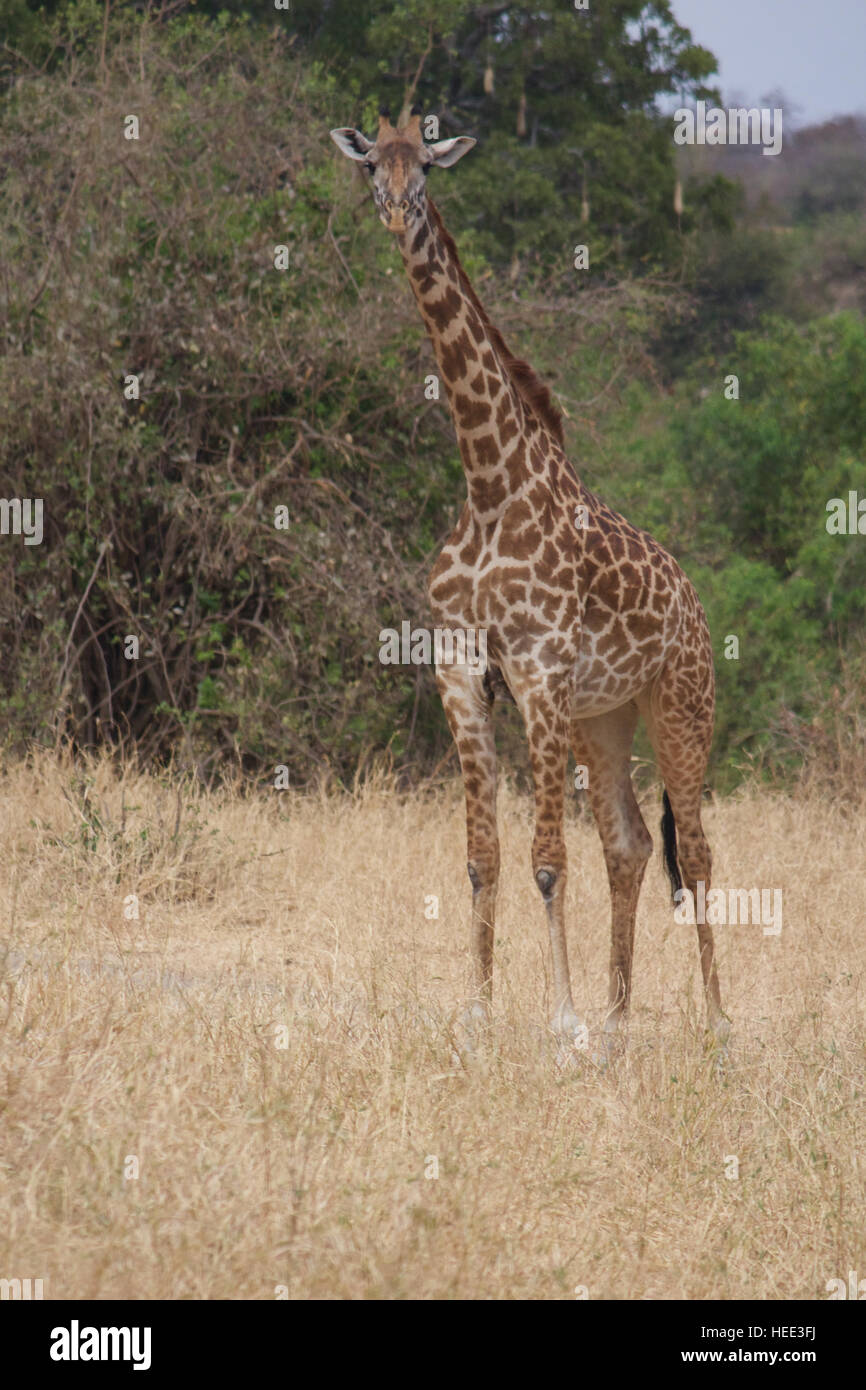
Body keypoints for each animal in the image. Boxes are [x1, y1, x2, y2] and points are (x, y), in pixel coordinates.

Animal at [330, 110, 729, 1056]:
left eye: (426, 170)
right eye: (371, 166)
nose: (395, 213)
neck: (487, 482)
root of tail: (695, 602)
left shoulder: (539, 672)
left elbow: (550, 861)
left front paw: (562, 1021)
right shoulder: (460, 671)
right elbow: (485, 858)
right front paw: (479, 1016)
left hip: (679, 703)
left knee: (695, 850)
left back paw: (716, 1022)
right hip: (604, 718)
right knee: (630, 843)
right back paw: (621, 1021)